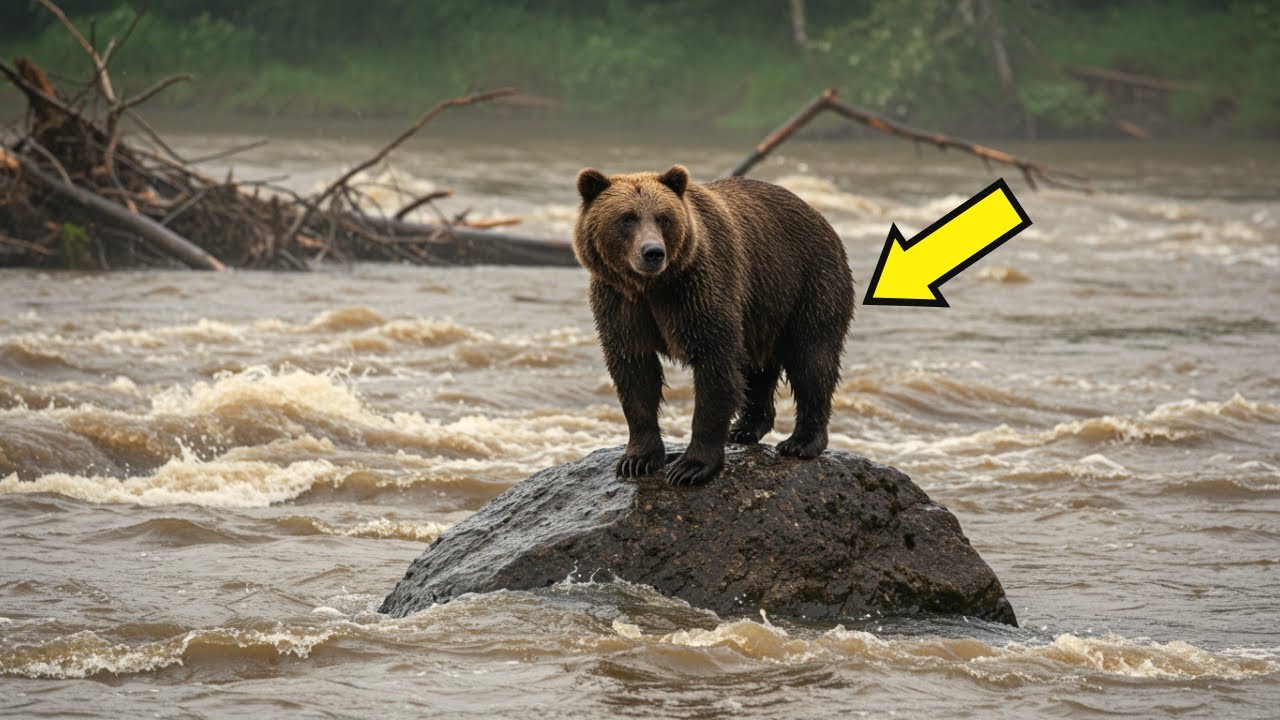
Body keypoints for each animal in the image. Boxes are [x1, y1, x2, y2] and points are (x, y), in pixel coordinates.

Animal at [574, 165, 854, 486]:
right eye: (627, 218)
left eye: (663, 218)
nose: (653, 252)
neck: (650, 287)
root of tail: (818, 214)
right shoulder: (620, 303)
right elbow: (635, 374)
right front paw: (637, 459)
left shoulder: (699, 290)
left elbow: (716, 368)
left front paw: (690, 467)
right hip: (761, 309)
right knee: (757, 368)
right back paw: (744, 428)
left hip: (808, 283)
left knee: (812, 360)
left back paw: (802, 442)